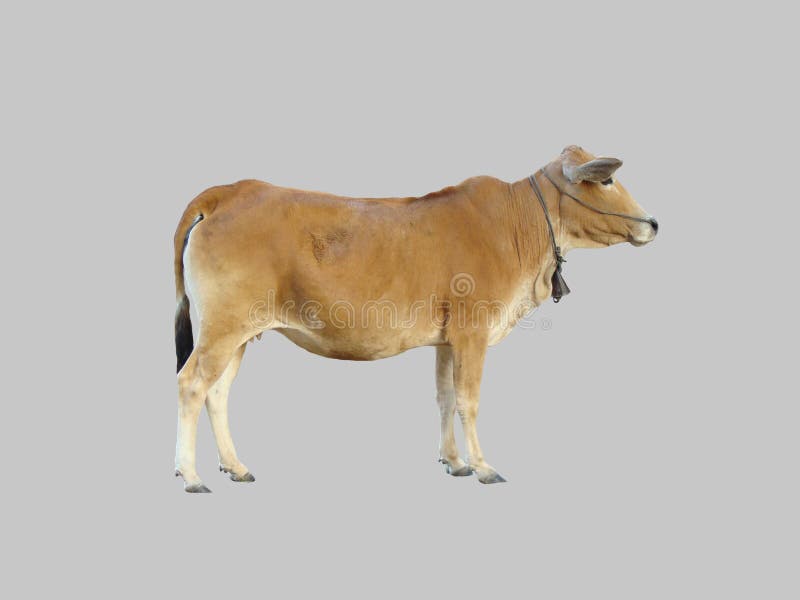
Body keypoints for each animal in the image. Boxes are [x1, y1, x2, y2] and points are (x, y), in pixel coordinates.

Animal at [172, 145, 658, 492]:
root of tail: (231, 190)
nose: (652, 223)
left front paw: (455, 462)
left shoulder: (447, 340)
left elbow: (444, 397)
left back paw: (235, 467)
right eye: (608, 179)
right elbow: (469, 401)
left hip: (238, 335)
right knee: (192, 384)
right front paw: (483, 467)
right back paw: (191, 476)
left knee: (218, 393)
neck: (516, 226)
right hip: (222, 329)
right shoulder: (473, 332)